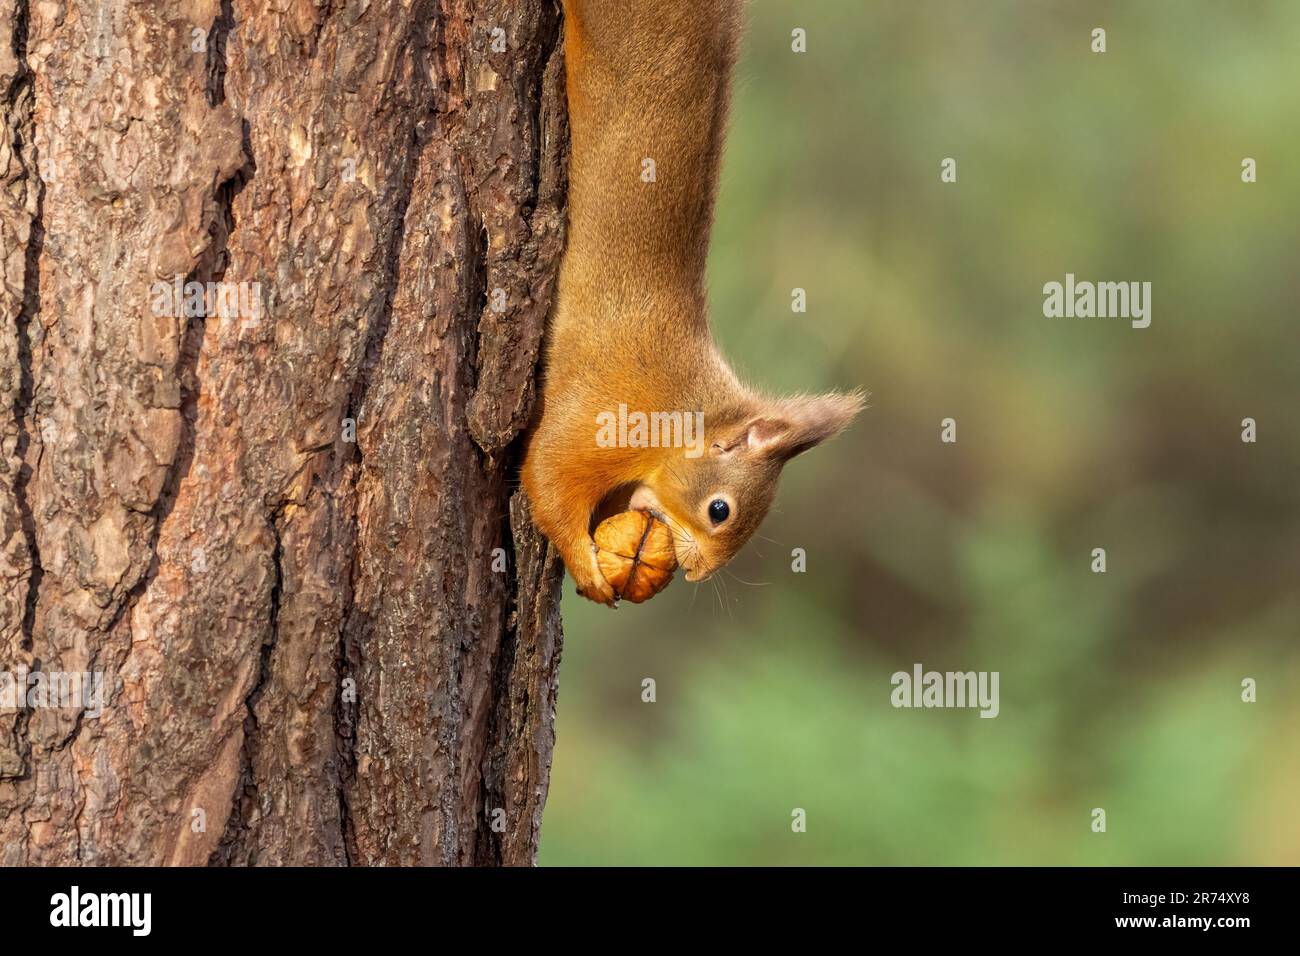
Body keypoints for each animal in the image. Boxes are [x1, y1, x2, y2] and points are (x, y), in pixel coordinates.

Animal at [522, 0, 865, 606]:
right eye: (720, 510)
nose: (698, 573)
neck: (683, 416)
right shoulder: (605, 416)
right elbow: (549, 475)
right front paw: (585, 564)